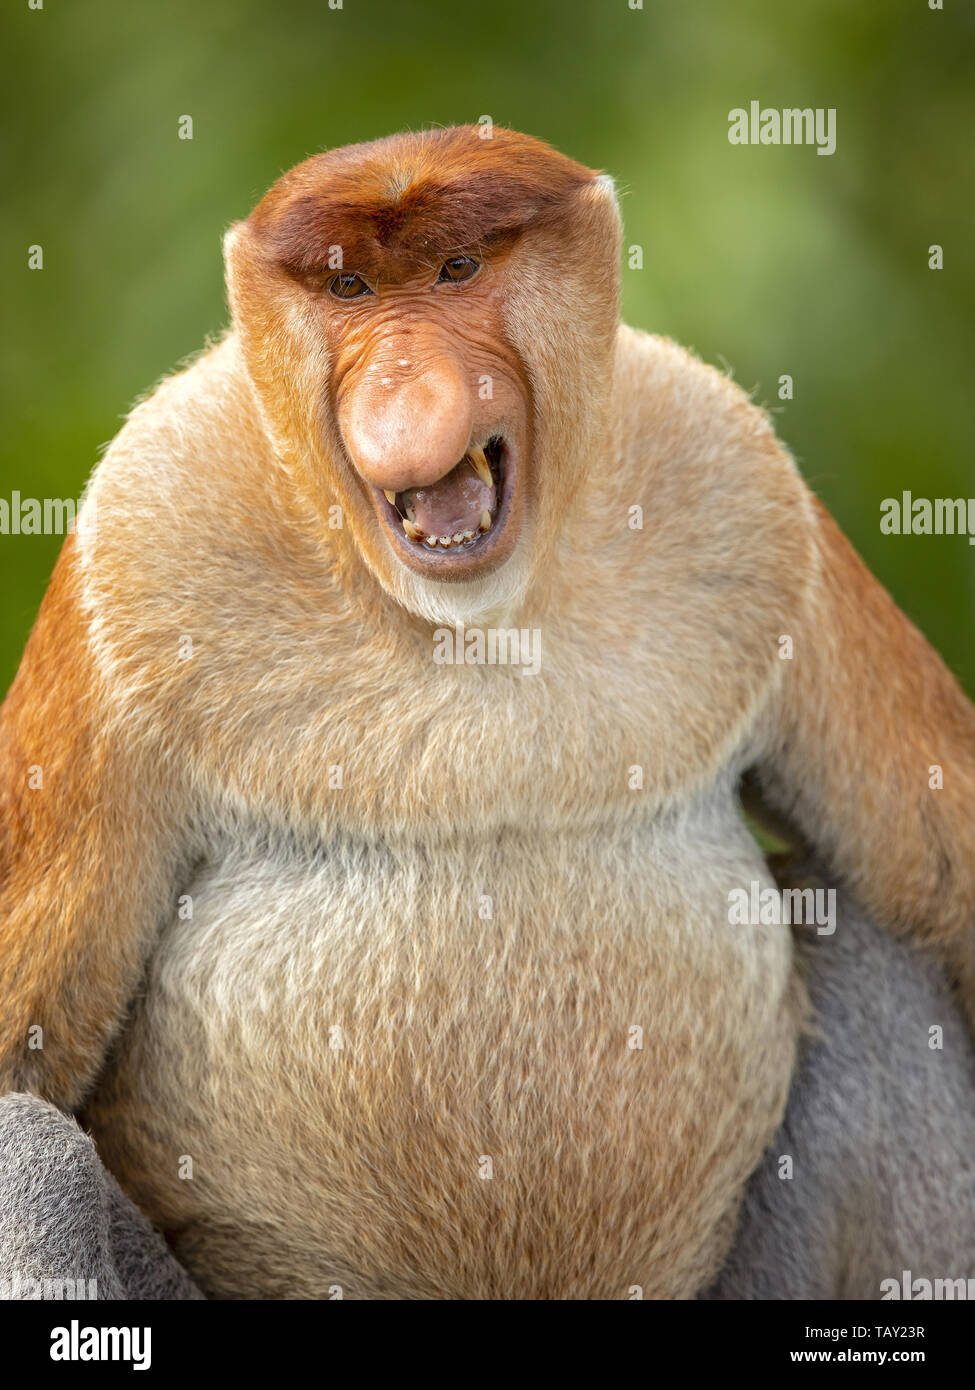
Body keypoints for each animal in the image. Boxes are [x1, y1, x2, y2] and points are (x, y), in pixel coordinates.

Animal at [0, 125, 973, 1300]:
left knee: (880, 969)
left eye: (458, 269)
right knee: (37, 1151)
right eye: (350, 287)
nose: (407, 388)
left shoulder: (745, 482)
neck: (469, 623)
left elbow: (945, 871)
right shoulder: (133, 545)